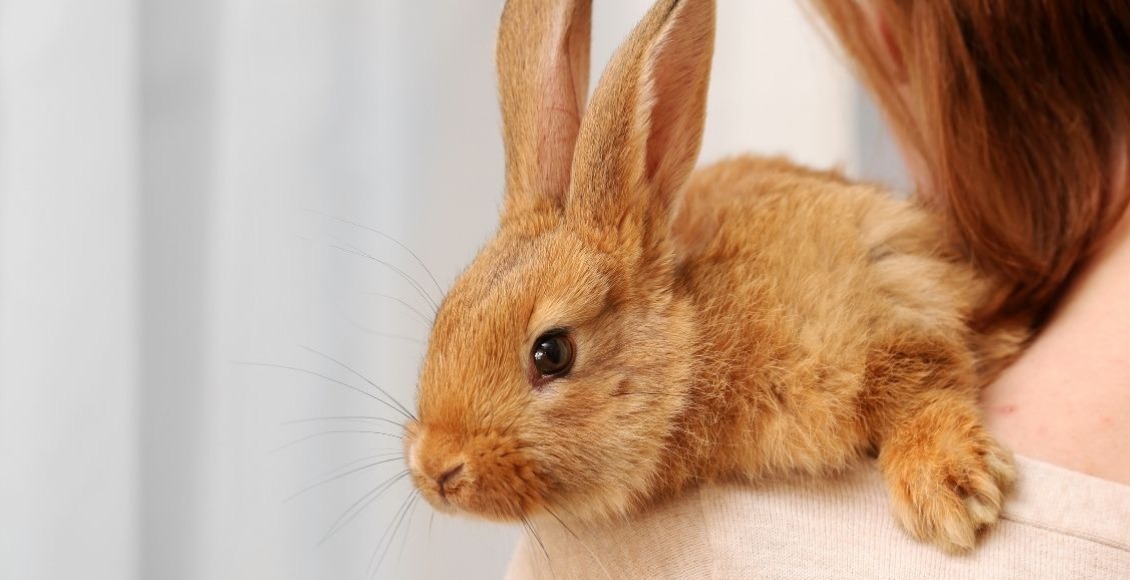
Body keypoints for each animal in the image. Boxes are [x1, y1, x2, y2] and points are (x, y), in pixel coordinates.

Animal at [403, 0, 1022, 553]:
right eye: (443, 320)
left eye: (551, 352)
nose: (437, 469)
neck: (695, 348)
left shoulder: (887, 296)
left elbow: (922, 382)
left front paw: (948, 490)